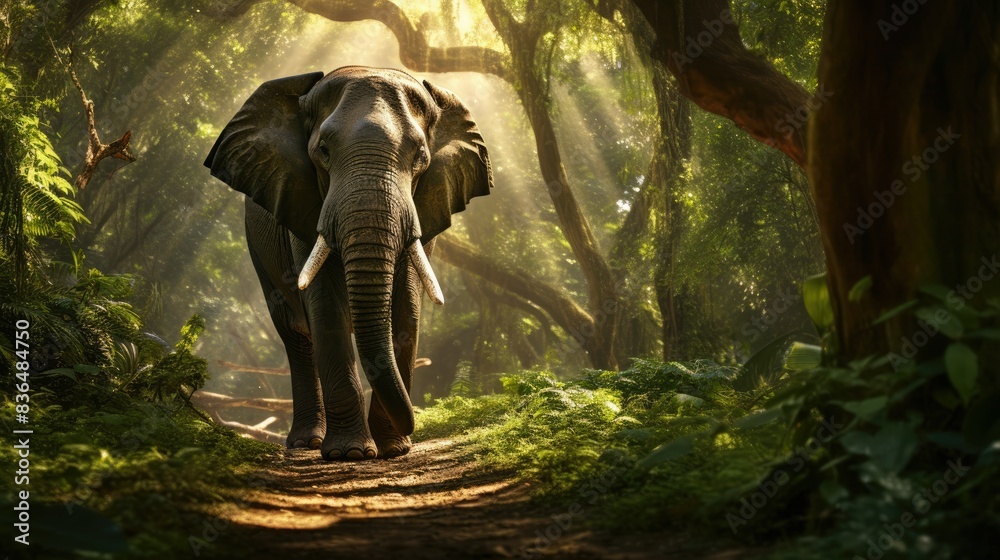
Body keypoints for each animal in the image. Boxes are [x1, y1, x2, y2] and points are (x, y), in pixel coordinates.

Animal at [204, 67, 493, 460]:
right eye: (323, 151)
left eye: (420, 156)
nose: (414, 427)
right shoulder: (303, 202)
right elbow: (325, 305)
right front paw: (351, 453)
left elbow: (408, 306)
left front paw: (393, 450)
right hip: (257, 249)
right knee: (295, 335)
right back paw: (306, 443)